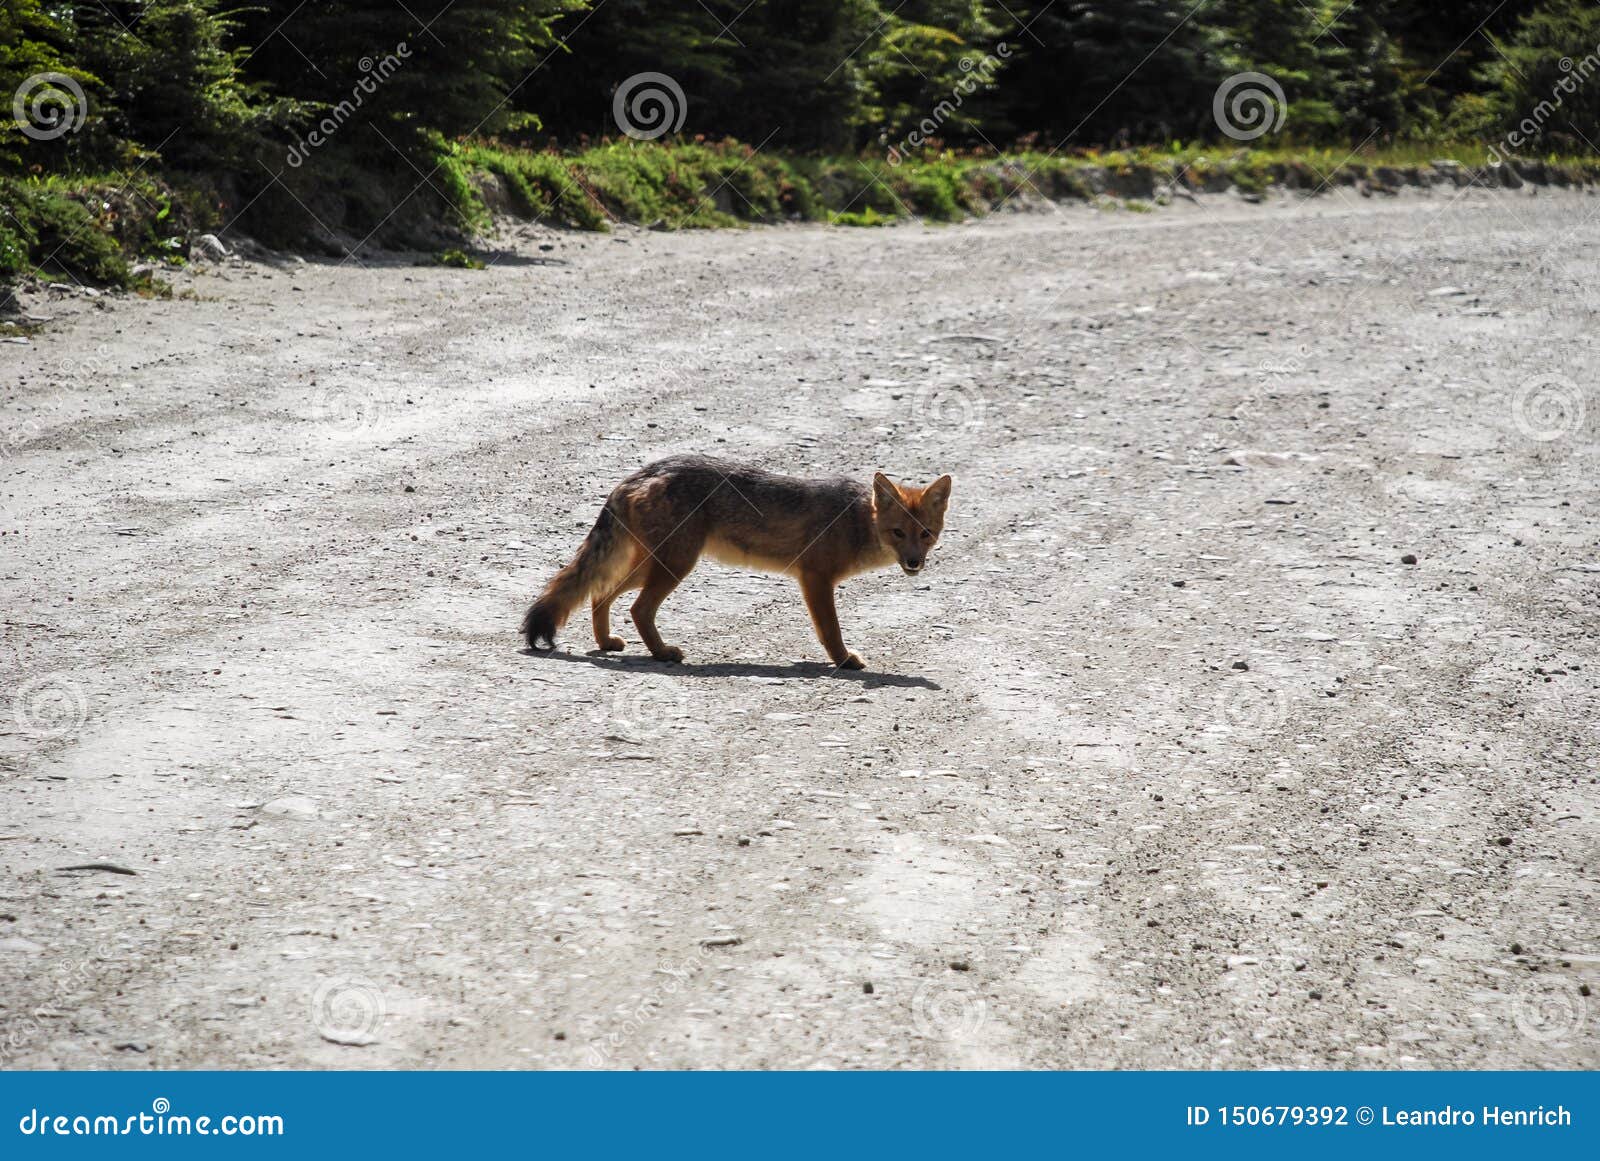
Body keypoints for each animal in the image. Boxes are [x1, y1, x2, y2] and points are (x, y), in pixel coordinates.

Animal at [520, 455, 952, 670]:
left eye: (925, 534)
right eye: (898, 533)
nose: (914, 563)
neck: (857, 519)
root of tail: (636, 475)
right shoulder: (815, 578)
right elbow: (830, 630)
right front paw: (844, 661)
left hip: (654, 564)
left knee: (599, 594)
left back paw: (607, 643)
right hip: (674, 565)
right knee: (636, 607)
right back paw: (661, 654)